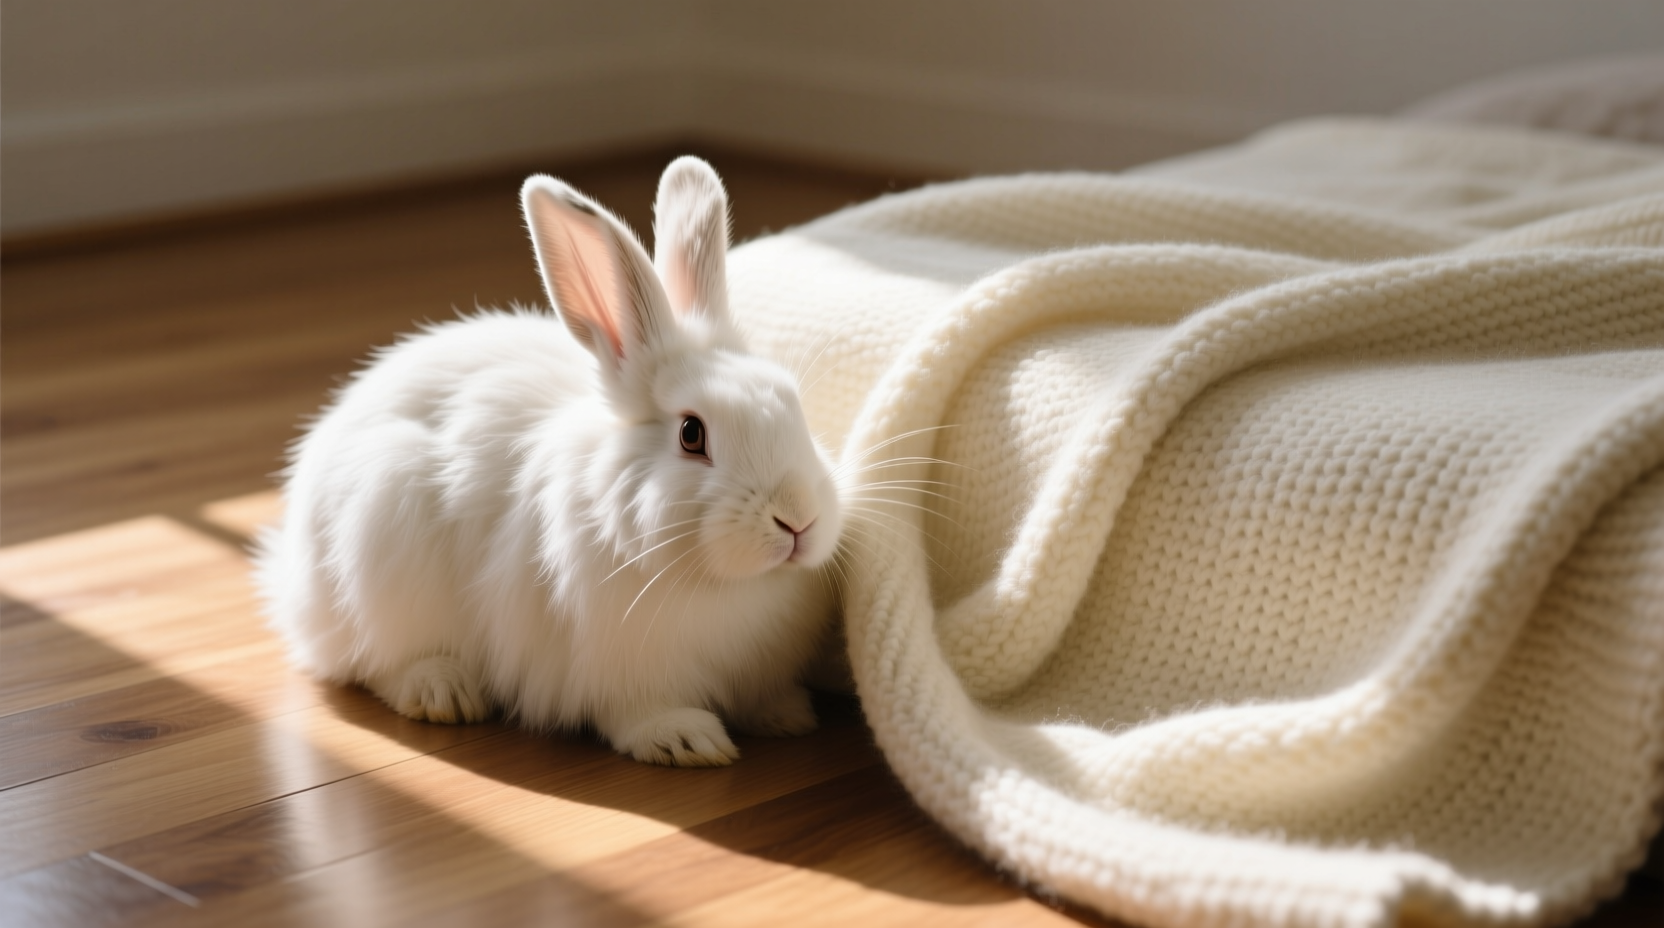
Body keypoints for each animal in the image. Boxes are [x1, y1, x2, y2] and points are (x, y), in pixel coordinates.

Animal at [255, 157, 846, 767]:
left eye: (794, 405)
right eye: (691, 434)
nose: (797, 519)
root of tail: (291, 576)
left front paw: (787, 716)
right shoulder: (622, 671)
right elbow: (638, 713)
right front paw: (687, 740)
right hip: (382, 544)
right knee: (375, 663)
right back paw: (444, 692)